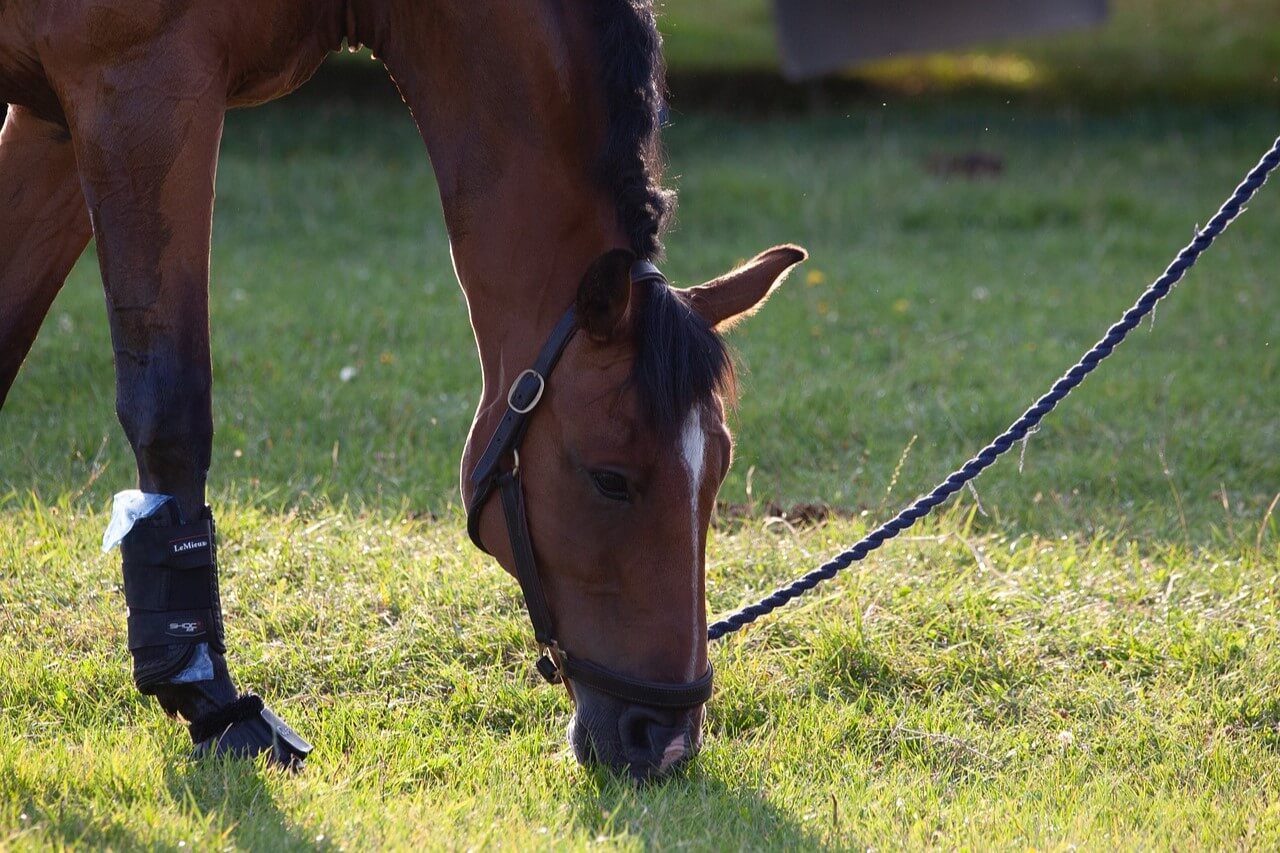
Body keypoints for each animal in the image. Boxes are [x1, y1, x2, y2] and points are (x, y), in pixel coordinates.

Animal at [0, 0, 806, 781]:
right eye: (611, 478)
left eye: (720, 470)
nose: (665, 741)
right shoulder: (134, 91)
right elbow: (170, 401)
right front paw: (210, 702)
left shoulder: (58, 113)